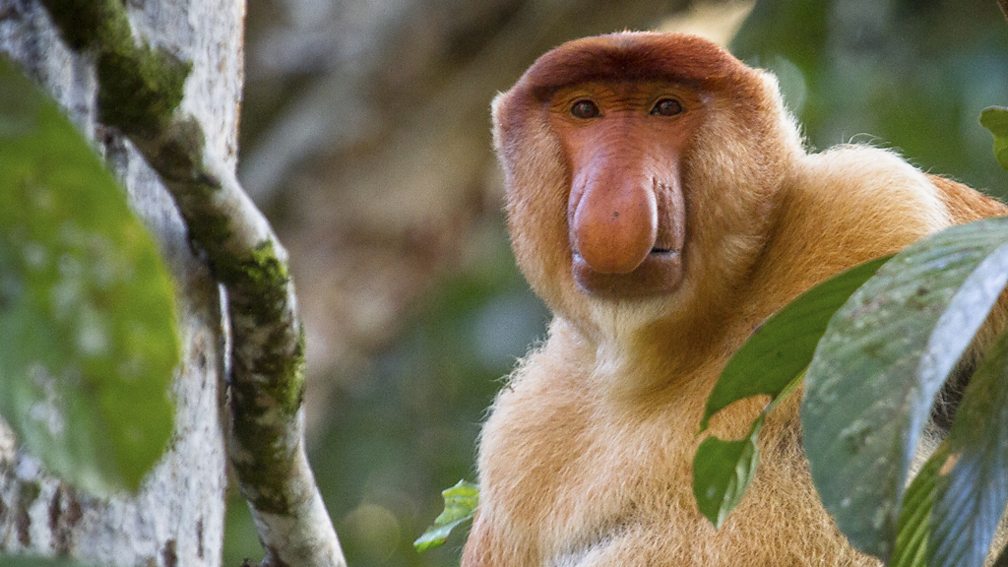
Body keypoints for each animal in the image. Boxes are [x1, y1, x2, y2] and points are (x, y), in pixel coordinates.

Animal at [462, 32, 1008, 566]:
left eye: (666, 107)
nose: (615, 205)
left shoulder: (872, 202)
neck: (662, 357)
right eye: (584, 110)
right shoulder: (522, 436)